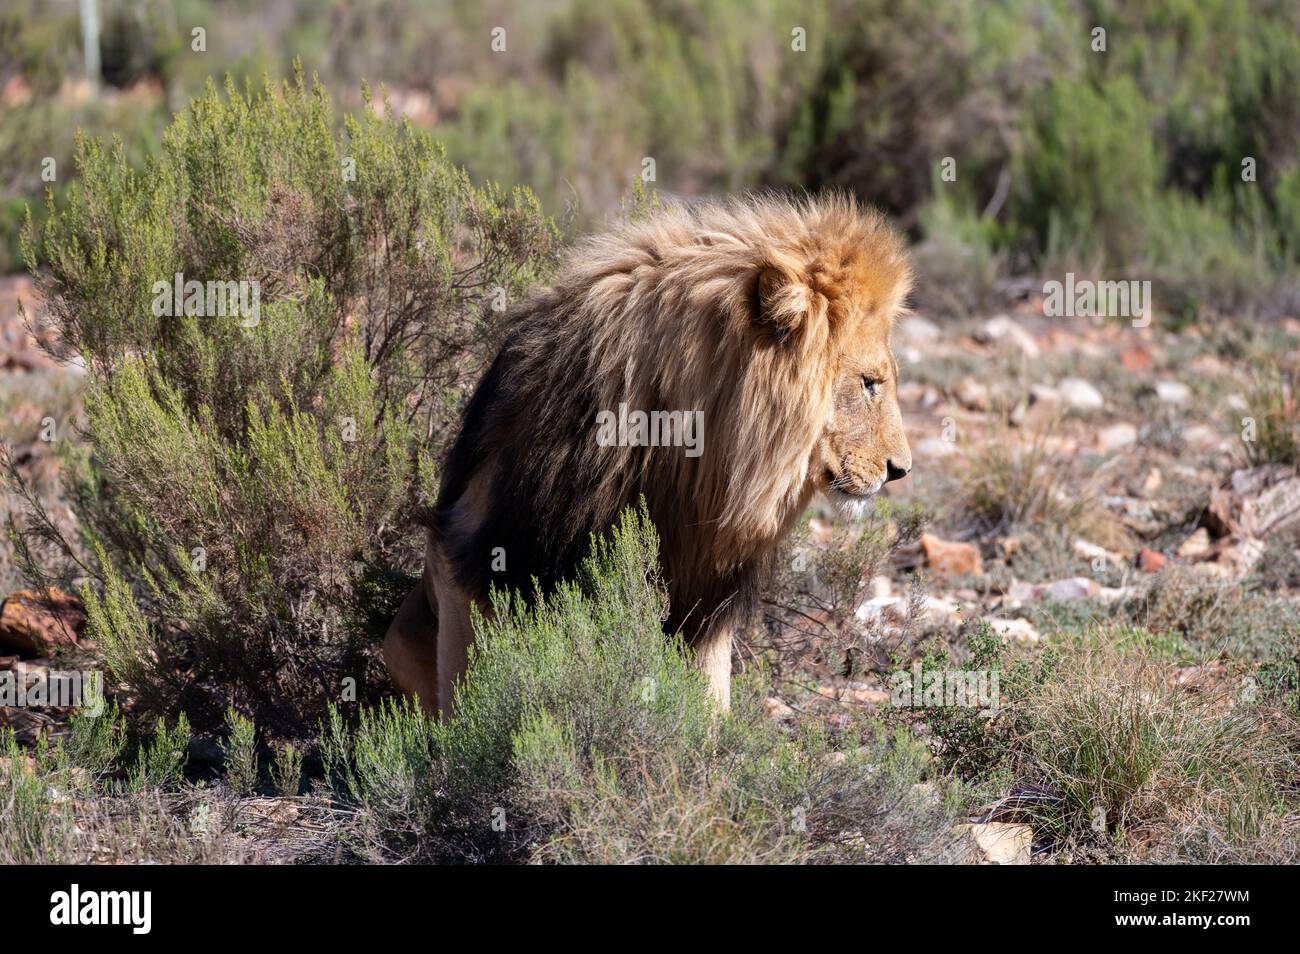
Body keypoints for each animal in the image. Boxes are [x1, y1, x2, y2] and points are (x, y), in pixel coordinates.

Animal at [384, 194, 913, 716]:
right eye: (869, 383)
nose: (901, 470)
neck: (681, 458)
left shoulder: (705, 592)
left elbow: (711, 697)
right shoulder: (472, 547)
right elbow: (464, 689)